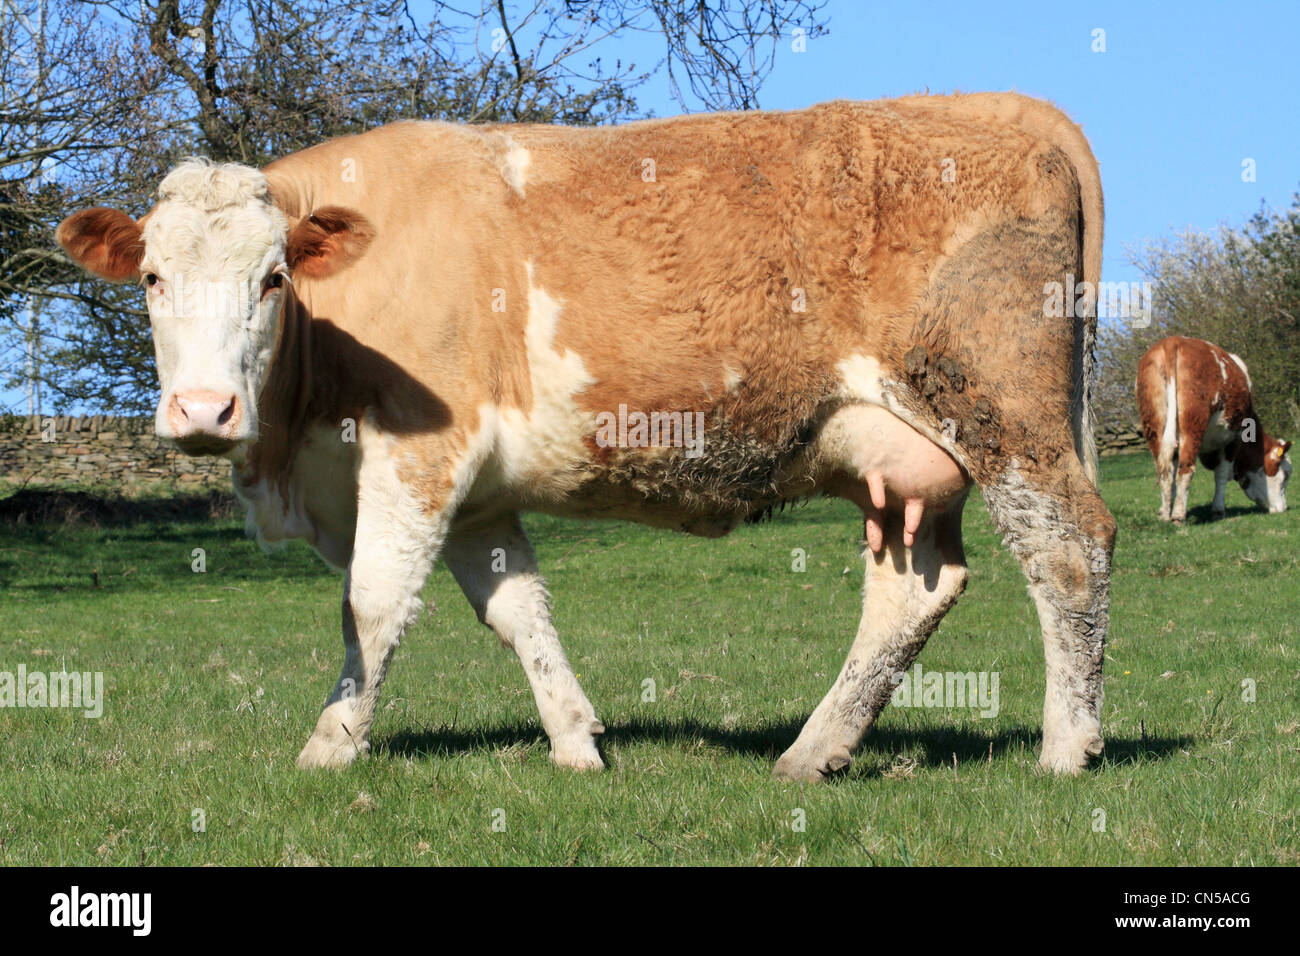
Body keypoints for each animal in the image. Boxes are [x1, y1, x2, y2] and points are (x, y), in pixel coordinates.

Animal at [56, 92, 1115, 781]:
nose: (204, 412)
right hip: (900, 457)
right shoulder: (478, 494)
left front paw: (330, 746)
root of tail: (997, 105)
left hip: (1005, 415)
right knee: (914, 589)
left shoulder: (416, 455)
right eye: (150, 277)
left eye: (273, 278)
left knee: (1068, 551)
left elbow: (373, 603)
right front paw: (575, 743)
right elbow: (517, 612)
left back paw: (1065, 751)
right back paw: (812, 753)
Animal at [1137, 336, 1291, 522]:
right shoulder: (1234, 438)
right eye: (1285, 476)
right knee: (1185, 470)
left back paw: (1166, 516)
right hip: (1193, 428)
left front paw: (1165, 509)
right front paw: (1218, 510)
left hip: (1154, 428)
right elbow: (1222, 474)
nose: (1283, 508)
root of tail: (1172, 340)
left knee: (1165, 471)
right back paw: (1179, 516)